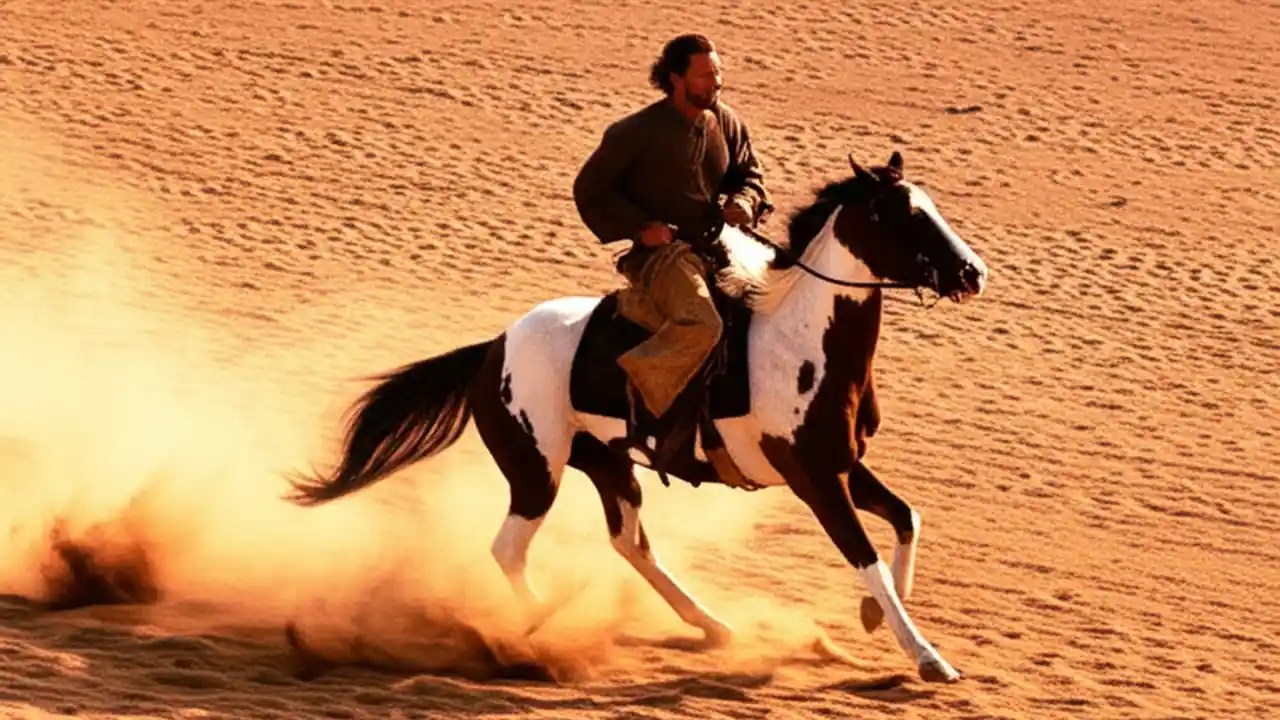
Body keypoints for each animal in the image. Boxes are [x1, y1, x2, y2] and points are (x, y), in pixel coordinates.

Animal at [285, 150, 989, 684]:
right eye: (903, 216)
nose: (972, 271)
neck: (798, 339)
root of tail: (492, 350)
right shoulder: (814, 479)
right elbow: (866, 555)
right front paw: (929, 659)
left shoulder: (842, 464)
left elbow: (906, 519)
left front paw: (875, 617)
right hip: (536, 469)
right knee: (510, 547)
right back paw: (539, 633)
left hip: (605, 462)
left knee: (630, 541)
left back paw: (712, 625)